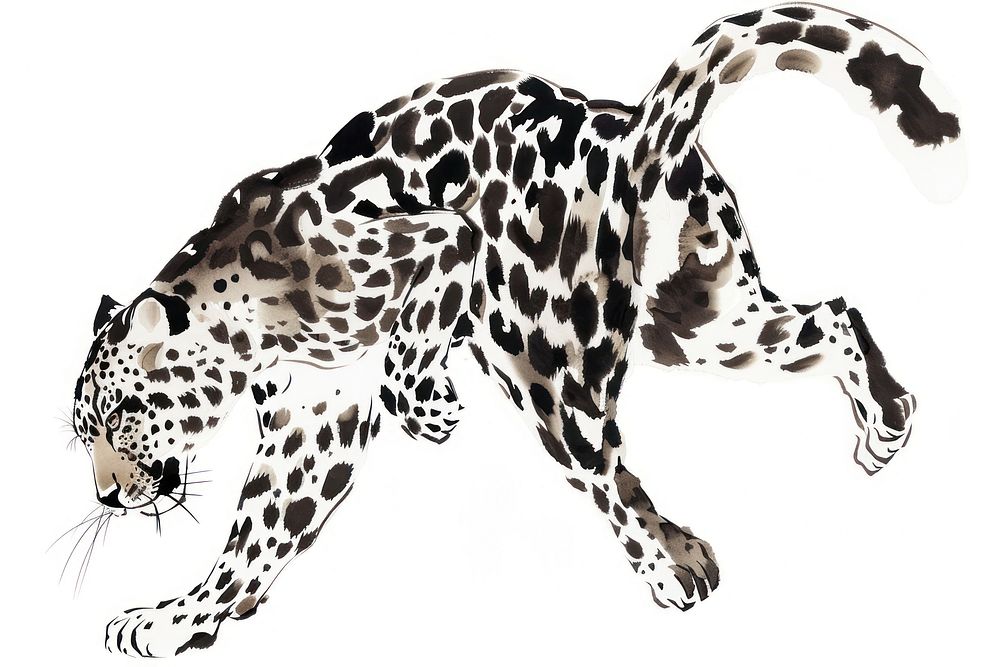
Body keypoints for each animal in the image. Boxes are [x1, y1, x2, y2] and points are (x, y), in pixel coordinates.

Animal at [67, 4, 963, 656]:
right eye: (85, 434)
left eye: (121, 414)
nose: (106, 493)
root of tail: (631, 133)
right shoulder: (311, 420)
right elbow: (255, 537)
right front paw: (177, 619)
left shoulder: (436, 242)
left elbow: (407, 346)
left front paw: (432, 408)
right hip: (700, 319)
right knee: (832, 316)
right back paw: (884, 424)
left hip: (549, 361)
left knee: (608, 469)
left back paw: (674, 568)